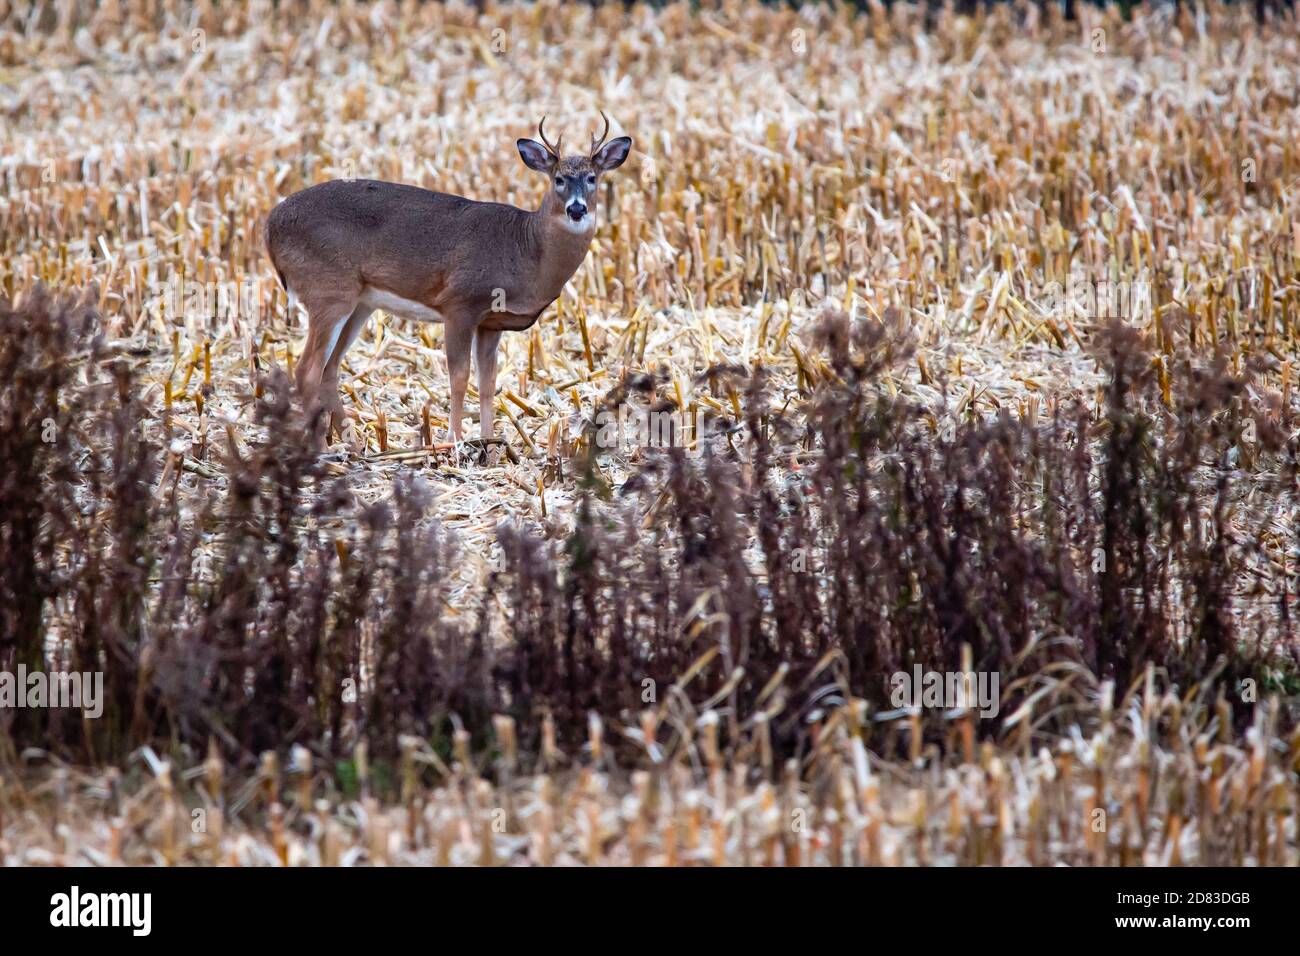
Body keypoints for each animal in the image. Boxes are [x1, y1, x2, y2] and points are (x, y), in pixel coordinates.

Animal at [265, 114, 632, 446]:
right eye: (558, 179)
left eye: (592, 177)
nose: (576, 209)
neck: (527, 251)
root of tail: (269, 226)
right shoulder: (460, 303)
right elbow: (459, 376)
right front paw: (453, 441)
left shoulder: (491, 322)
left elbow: (488, 382)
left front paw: (489, 443)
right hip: (328, 289)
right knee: (307, 370)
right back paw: (320, 447)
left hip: (360, 303)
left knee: (328, 370)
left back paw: (352, 444)